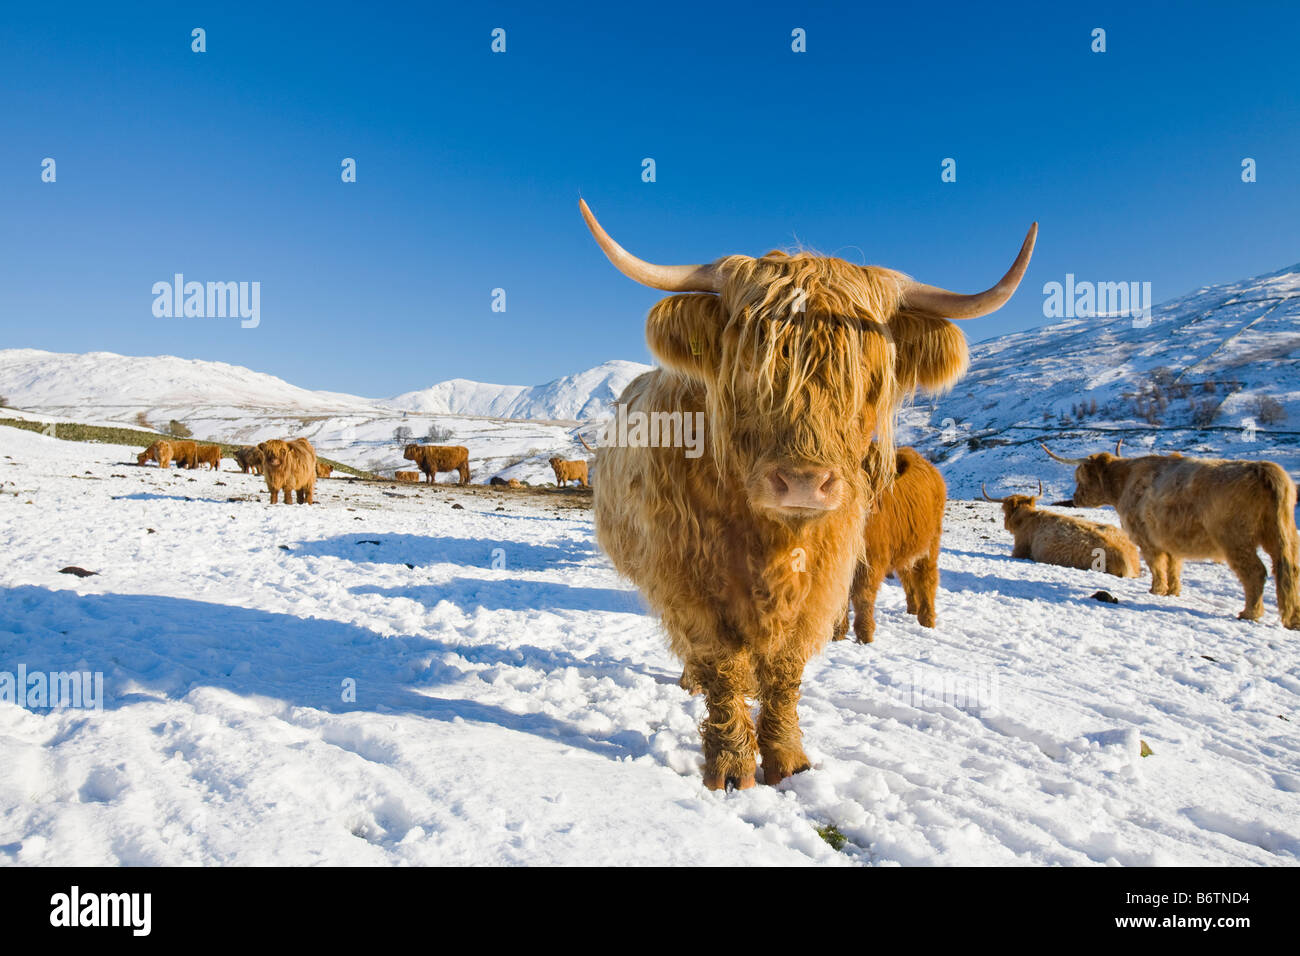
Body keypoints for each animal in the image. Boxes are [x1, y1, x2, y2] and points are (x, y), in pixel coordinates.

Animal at [831, 446, 947, 644]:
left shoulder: (872, 561)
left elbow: (863, 596)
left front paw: (865, 636)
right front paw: (837, 634)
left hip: (930, 543)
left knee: (927, 579)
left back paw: (927, 620)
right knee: (907, 575)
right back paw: (913, 609)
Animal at [1043, 441, 1300, 628]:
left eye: (1080, 477)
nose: (1075, 498)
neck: (1124, 483)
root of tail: (1261, 468)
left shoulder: (1147, 539)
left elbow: (1157, 566)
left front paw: (1155, 590)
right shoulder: (1170, 539)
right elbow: (1173, 566)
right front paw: (1172, 592)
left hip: (1236, 540)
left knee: (1256, 571)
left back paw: (1249, 613)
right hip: (1282, 535)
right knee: (1288, 569)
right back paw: (1292, 618)